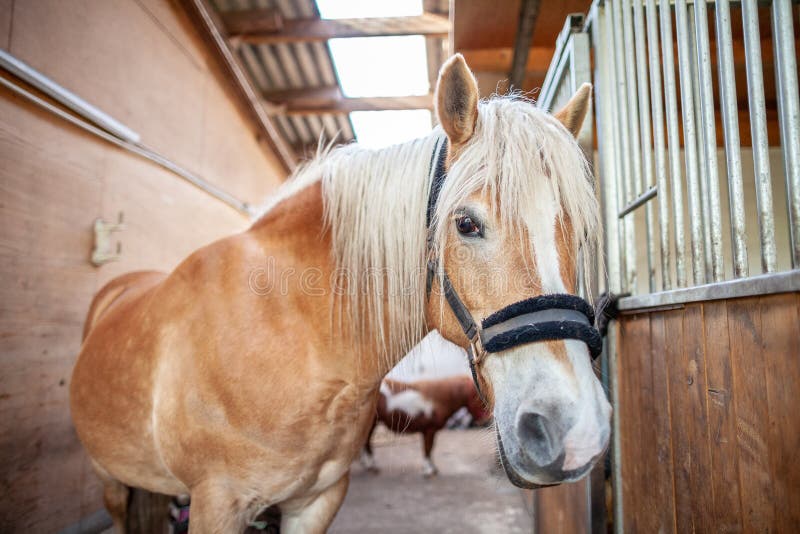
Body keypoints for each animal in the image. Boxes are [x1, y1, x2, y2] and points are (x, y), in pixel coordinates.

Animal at [360, 375, 490, 477]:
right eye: (479, 396)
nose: (486, 421)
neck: (438, 399)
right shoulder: (429, 430)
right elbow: (427, 449)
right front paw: (428, 471)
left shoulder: (431, 431)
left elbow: (430, 449)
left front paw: (433, 468)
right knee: (366, 441)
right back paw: (371, 465)